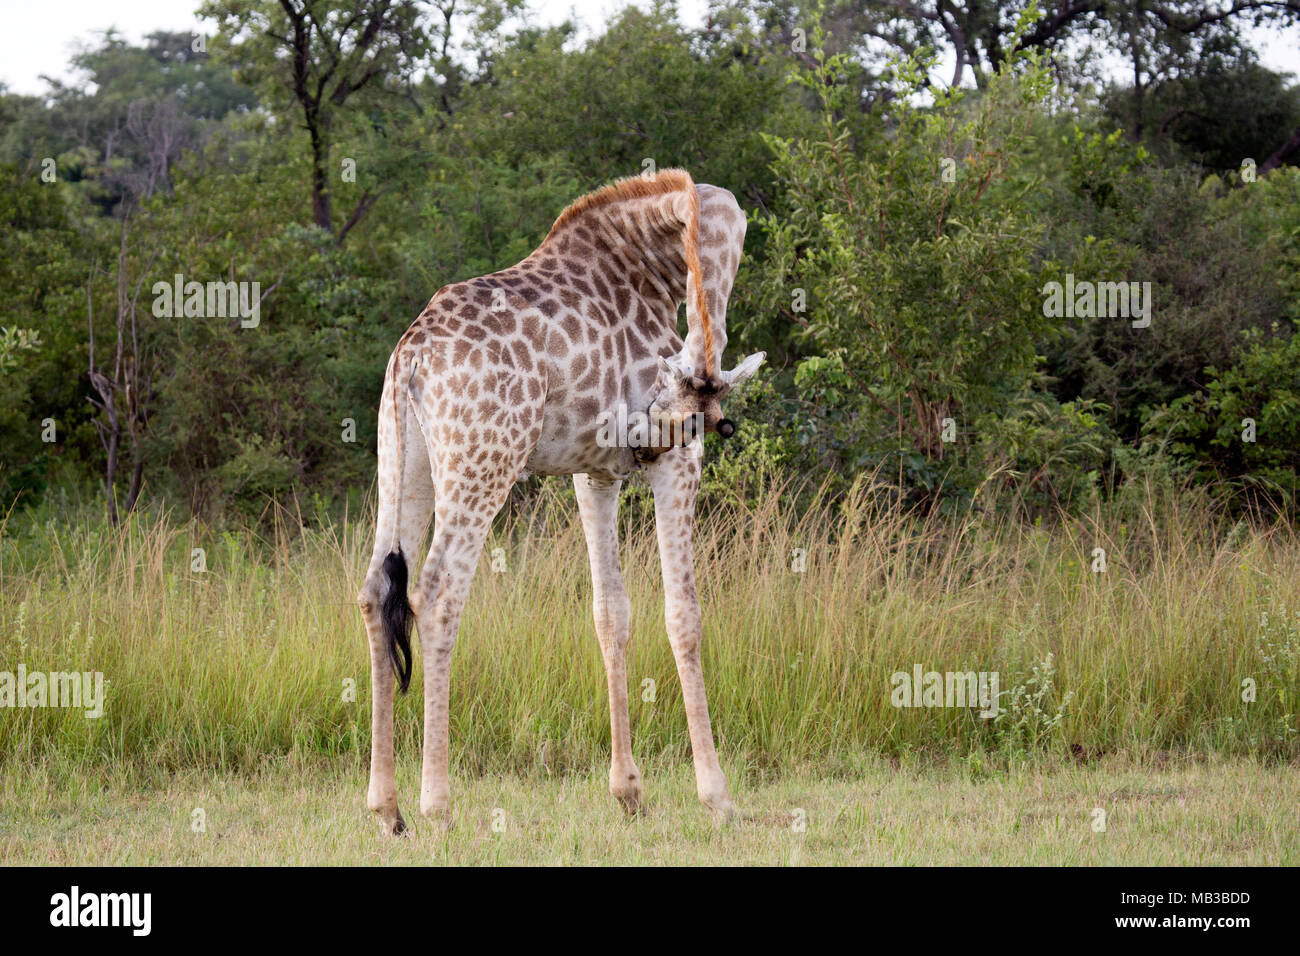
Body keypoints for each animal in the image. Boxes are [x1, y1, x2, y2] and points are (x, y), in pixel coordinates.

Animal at [356, 168, 764, 834]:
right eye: (671, 402)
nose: (651, 426)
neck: (654, 263)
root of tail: (411, 356)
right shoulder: (678, 462)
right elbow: (685, 615)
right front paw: (718, 796)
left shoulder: (594, 474)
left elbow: (610, 613)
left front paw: (628, 792)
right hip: (483, 461)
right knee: (437, 594)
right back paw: (437, 805)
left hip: (403, 460)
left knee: (375, 592)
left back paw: (387, 807)